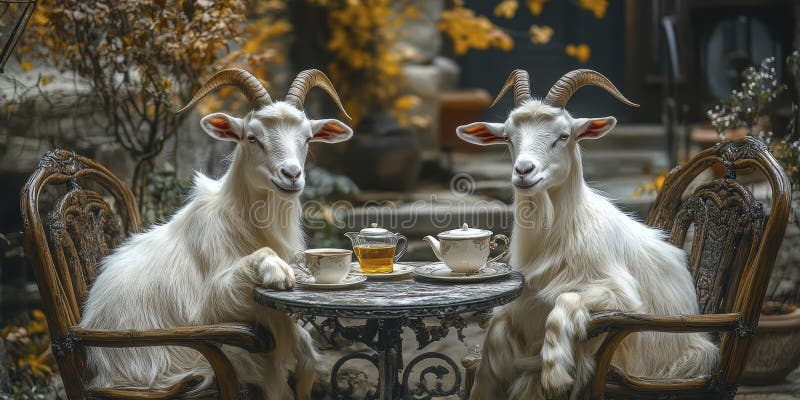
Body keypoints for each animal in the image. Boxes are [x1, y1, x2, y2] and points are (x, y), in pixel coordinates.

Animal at [79, 69, 353, 399]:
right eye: (252, 137)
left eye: (308, 138)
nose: (291, 175)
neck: (242, 219)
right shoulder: (214, 306)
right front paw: (277, 272)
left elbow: (308, 358)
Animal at [456, 69, 717, 399]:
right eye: (507, 137)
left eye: (563, 135)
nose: (524, 171)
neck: (556, 237)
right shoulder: (515, 315)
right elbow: (494, 344)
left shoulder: (622, 298)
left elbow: (565, 300)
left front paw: (555, 372)